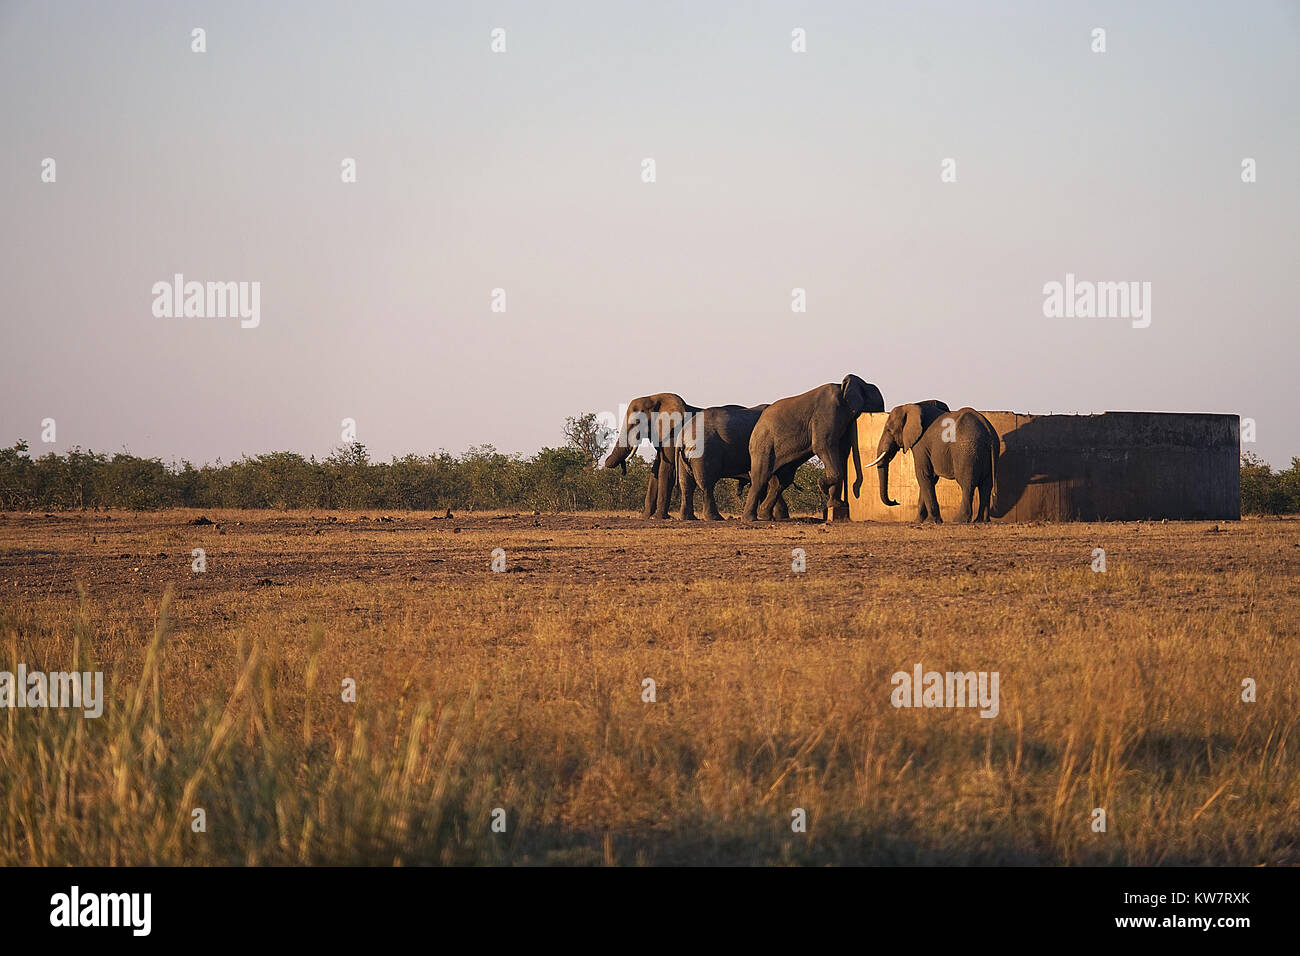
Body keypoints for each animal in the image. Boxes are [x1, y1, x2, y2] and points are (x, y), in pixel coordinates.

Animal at [742, 374, 885, 521]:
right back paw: (751, 519)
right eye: (878, 405)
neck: (842, 386)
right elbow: (823, 446)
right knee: (761, 478)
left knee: (782, 481)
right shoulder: (828, 411)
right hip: (763, 445)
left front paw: (835, 504)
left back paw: (765, 516)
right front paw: (822, 484)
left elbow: (840, 452)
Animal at [866, 402, 1000, 523]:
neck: (910, 406)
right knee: (986, 485)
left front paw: (931, 521)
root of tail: (988, 431)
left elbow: (923, 475)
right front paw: (918, 522)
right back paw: (981, 521)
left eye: (889, 430)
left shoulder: (920, 444)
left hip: (966, 452)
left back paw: (959, 520)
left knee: (967, 484)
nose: (896, 501)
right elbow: (930, 478)